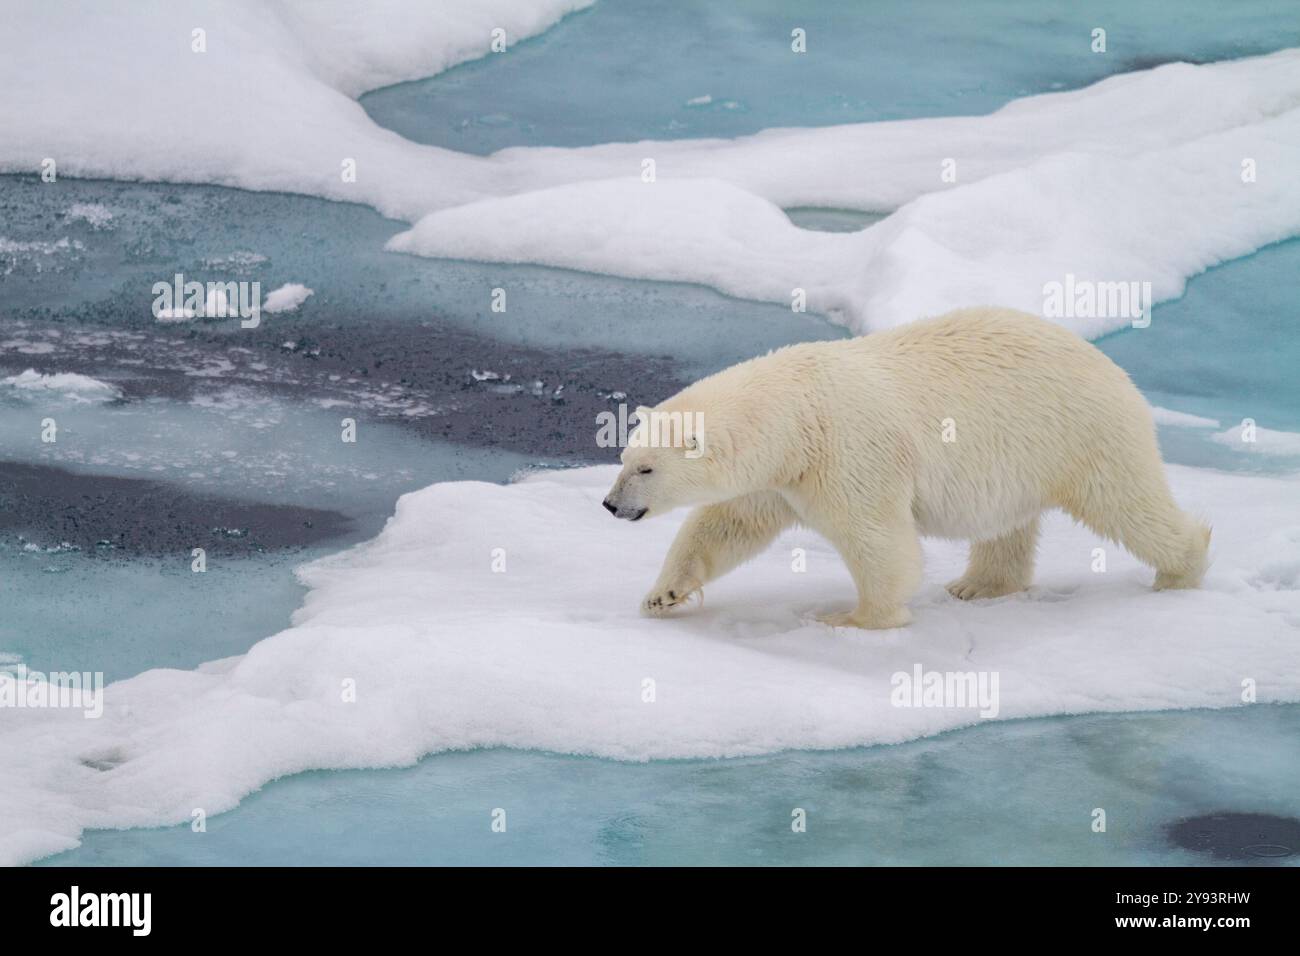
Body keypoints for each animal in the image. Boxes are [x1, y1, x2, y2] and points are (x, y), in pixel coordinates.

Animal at [601, 306, 1210, 629]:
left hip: (1081, 430)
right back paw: (977, 586)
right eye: (624, 458)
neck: (799, 412)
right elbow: (726, 525)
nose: (611, 504)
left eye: (646, 470)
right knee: (1007, 526)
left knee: (1126, 502)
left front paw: (854, 620)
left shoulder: (846, 453)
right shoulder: (779, 476)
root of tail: (1111, 365)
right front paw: (662, 596)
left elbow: (877, 539)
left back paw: (1183, 568)